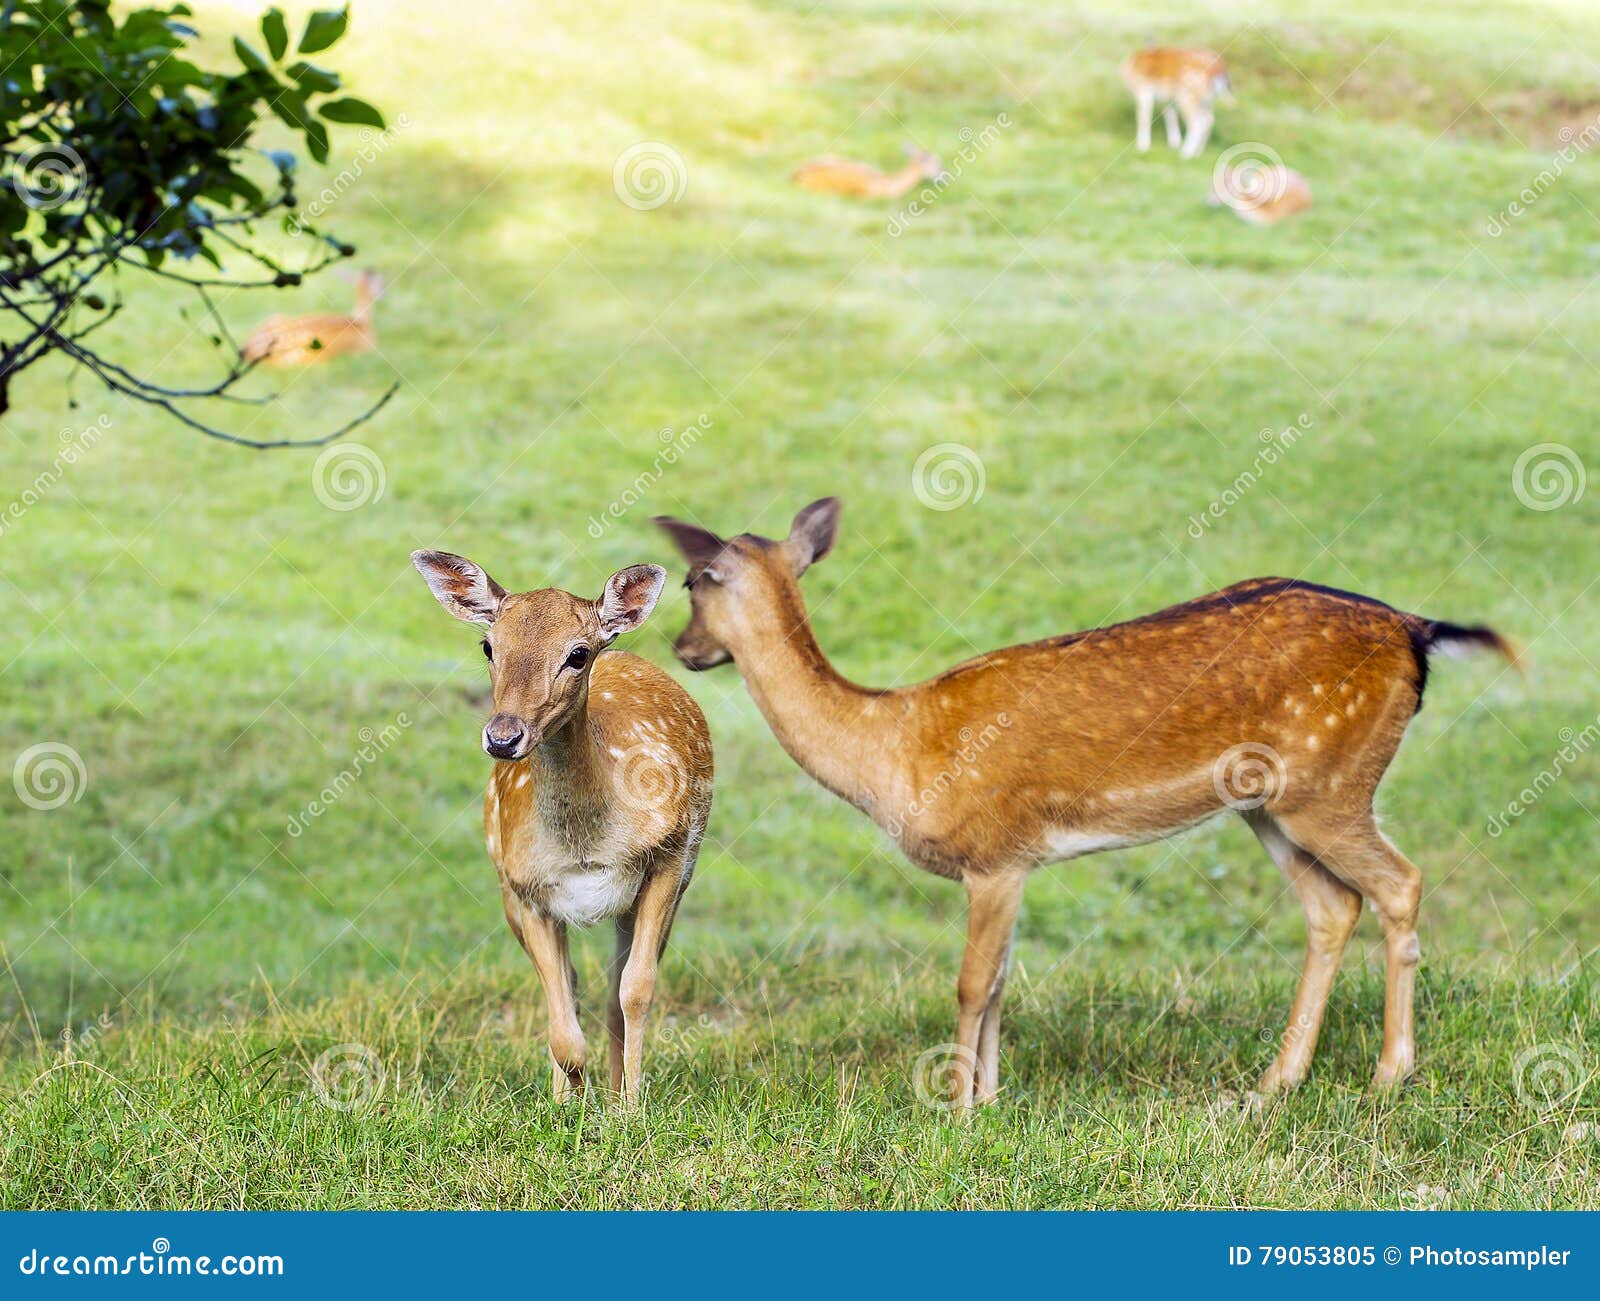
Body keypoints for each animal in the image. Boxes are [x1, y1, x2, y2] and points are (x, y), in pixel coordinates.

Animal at [241, 268, 385, 368]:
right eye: (380, 281)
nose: (383, 294)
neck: (360, 321)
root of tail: (247, 350)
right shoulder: (365, 349)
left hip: (276, 317)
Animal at [410, 550, 713, 1108]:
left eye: (577, 654)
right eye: (489, 645)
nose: (503, 737)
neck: (585, 844)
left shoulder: (670, 856)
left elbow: (636, 989)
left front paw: (629, 1107)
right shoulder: (525, 887)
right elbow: (562, 1019)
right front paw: (567, 1103)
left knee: (617, 985)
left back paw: (615, 1093)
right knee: (566, 988)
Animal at [654, 499, 1518, 1113]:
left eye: (693, 583)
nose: (684, 650)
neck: (893, 750)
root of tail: (1416, 629)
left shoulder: (992, 851)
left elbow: (972, 981)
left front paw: (954, 1107)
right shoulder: (1017, 862)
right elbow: (1002, 980)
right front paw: (991, 1098)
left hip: (1331, 781)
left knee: (1400, 882)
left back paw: (1389, 1075)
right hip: (1271, 804)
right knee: (1334, 904)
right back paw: (1276, 1081)